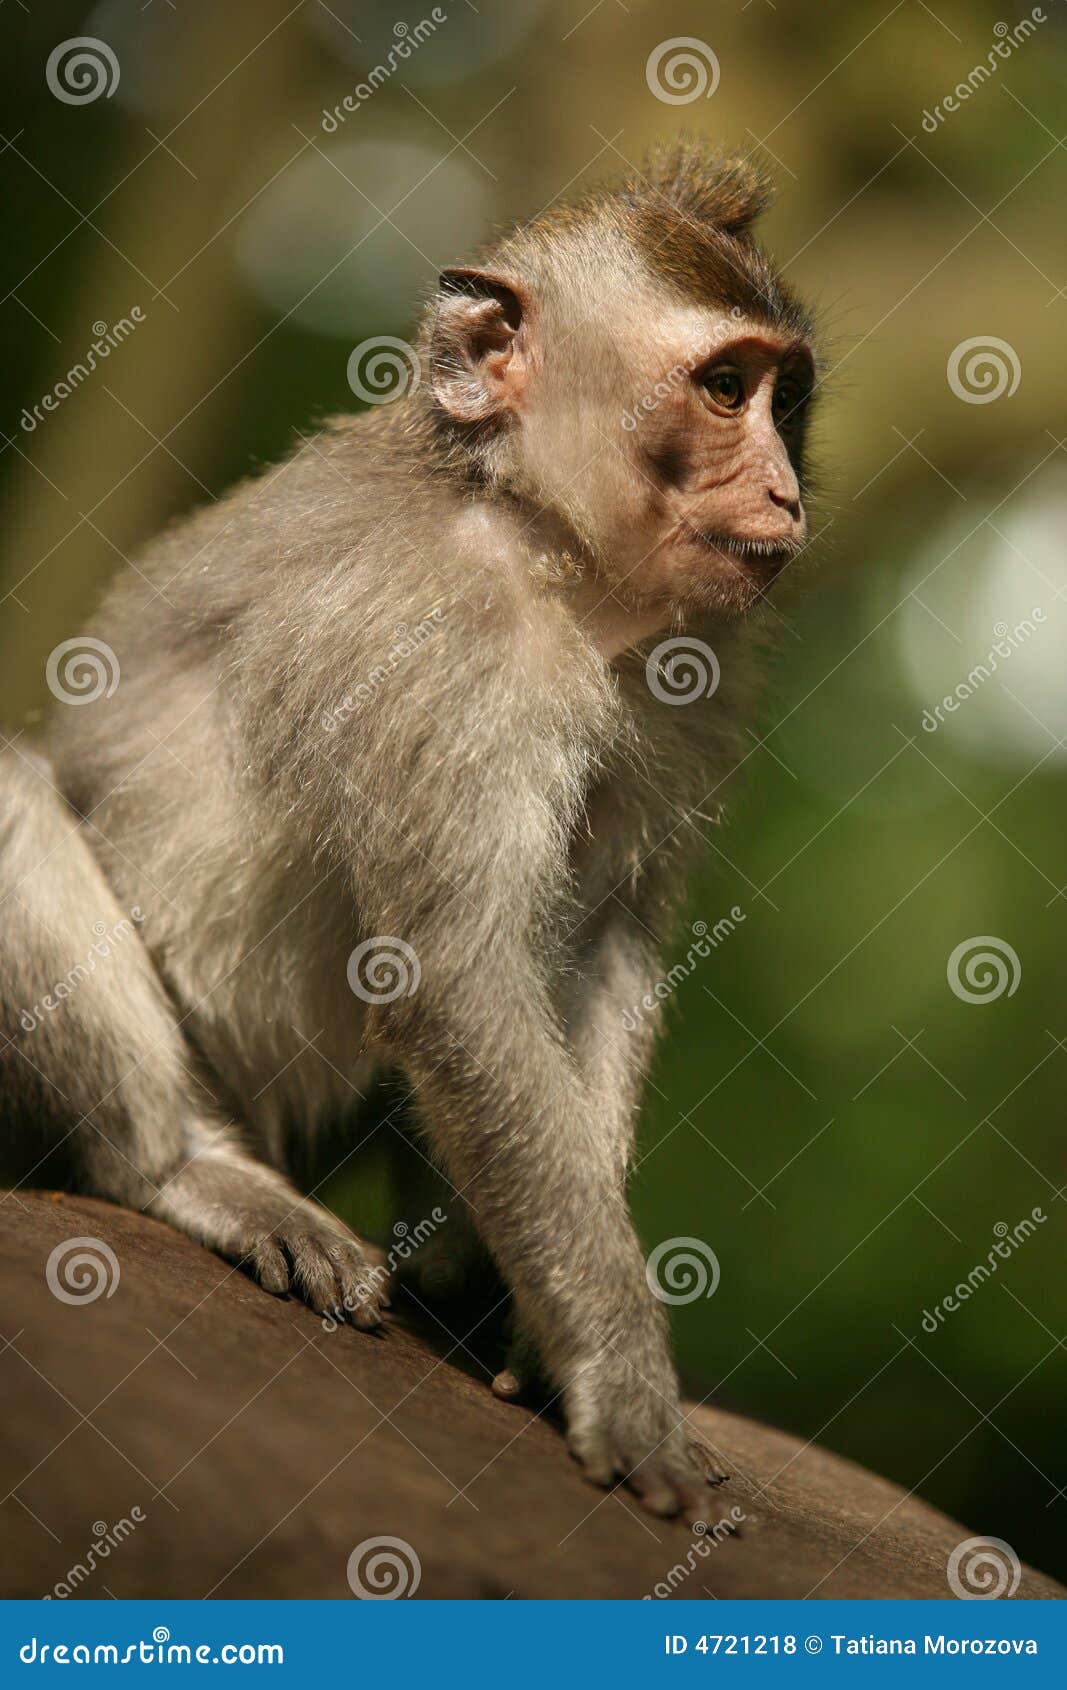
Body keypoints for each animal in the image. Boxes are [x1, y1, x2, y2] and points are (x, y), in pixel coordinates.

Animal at [0, 139, 818, 1522]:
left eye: (786, 396)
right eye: (721, 388)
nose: (787, 491)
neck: (539, 543)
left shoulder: (687, 677)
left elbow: (597, 947)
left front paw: (543, 1329)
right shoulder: (443, 647)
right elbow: (455, 977)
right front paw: (619, 1375)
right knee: (13, 791)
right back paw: (186, 1168)